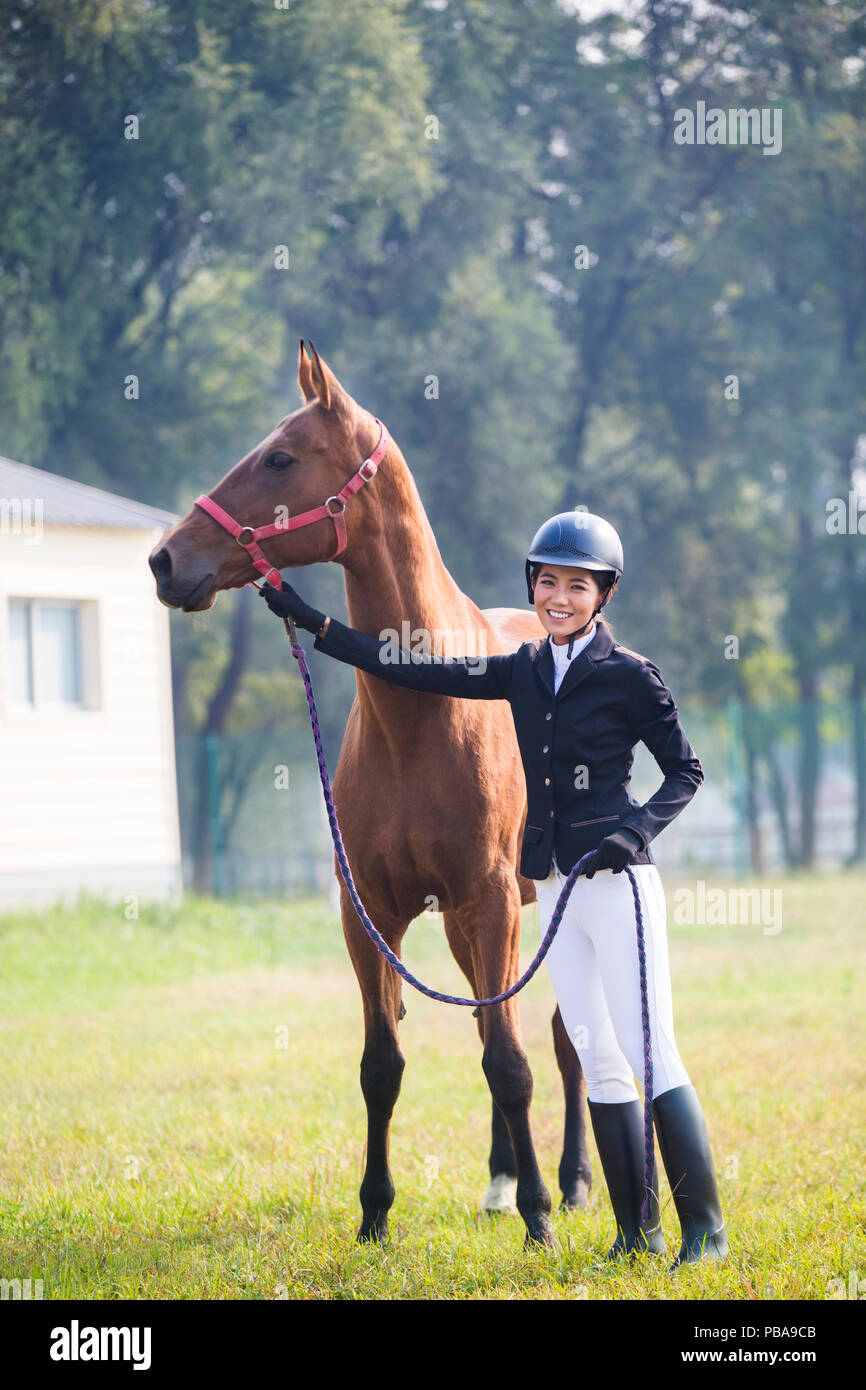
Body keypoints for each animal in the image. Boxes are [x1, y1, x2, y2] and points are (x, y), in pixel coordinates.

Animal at [149, 340, 592, 1247]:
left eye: (281, 458)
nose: (167, 559)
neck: (423, 708)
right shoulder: (372, 915)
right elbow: (383, 1065)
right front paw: (375, 1214)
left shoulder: (491, 899)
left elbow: (510, 1062)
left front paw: (539, 1217)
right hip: (465, 923)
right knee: (495, 1019)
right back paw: (500, 1181)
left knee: (559, 1043)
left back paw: (565, 1184)